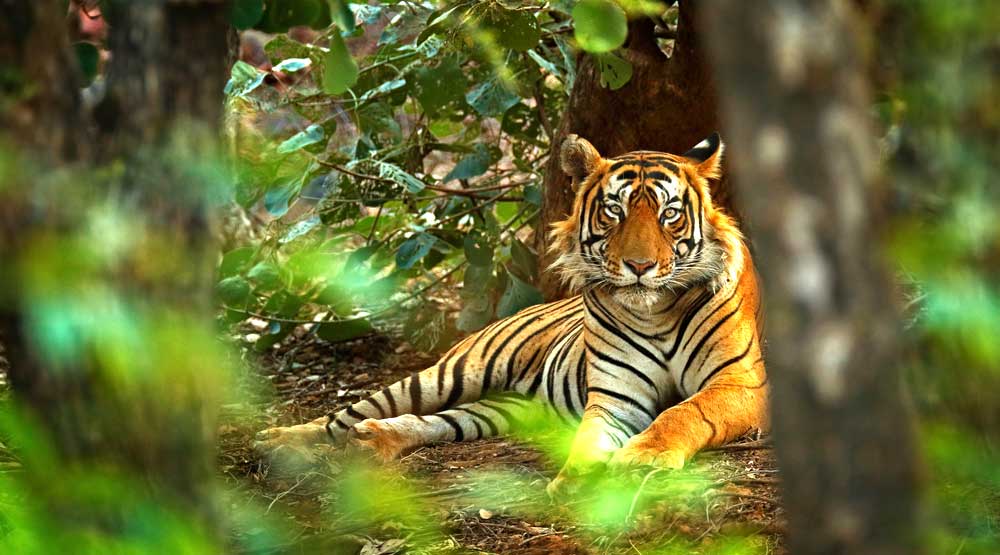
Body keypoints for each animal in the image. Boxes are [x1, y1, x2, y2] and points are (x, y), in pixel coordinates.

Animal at [255, 133, 769, 497]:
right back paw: (279, 440)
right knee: (346, 414)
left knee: (436, 422)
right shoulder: (615, 397)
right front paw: (576, 481)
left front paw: (642, 458)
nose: (639, 266)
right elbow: (589, 439)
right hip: (451, 373)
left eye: (669, 215)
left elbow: (684, 412)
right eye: (614, 211)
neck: (655, 311)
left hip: (505, 409)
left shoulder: (741, 383)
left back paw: (373, 441)